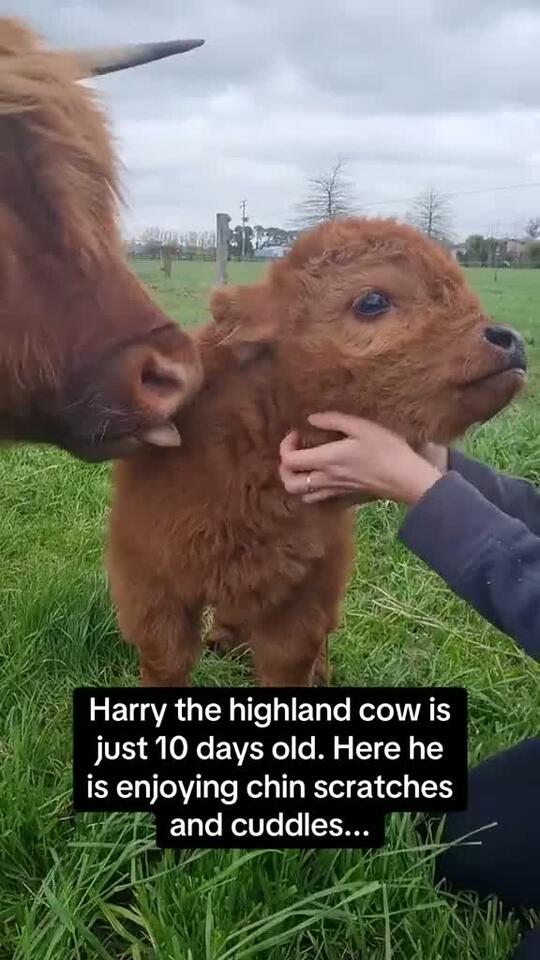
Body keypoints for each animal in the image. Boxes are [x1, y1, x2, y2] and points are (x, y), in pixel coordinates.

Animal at [106, 217, 526, 686]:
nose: (507, 338)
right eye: (372, 300)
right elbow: (166, 661)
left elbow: (289, 661)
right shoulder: (147, 579)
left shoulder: (307, 590)